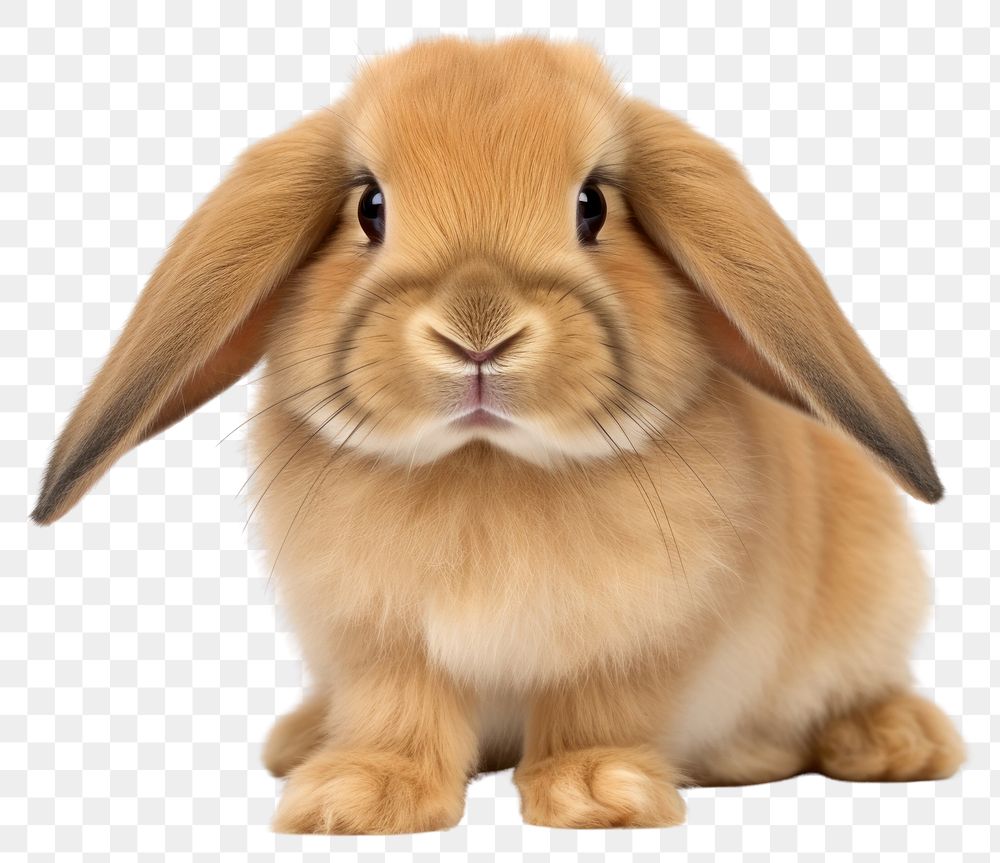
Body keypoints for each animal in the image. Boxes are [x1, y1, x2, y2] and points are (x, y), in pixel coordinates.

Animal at [32, 37, 964, 833]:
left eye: (593, 205)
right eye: (370, 206)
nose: (477, 330)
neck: (485, 464)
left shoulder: (633, 642)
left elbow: (595, 708)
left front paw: (597, 792)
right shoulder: (381, 641)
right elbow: (401, 708)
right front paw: (358, 796)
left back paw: (891, 741)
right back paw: (302, 741)